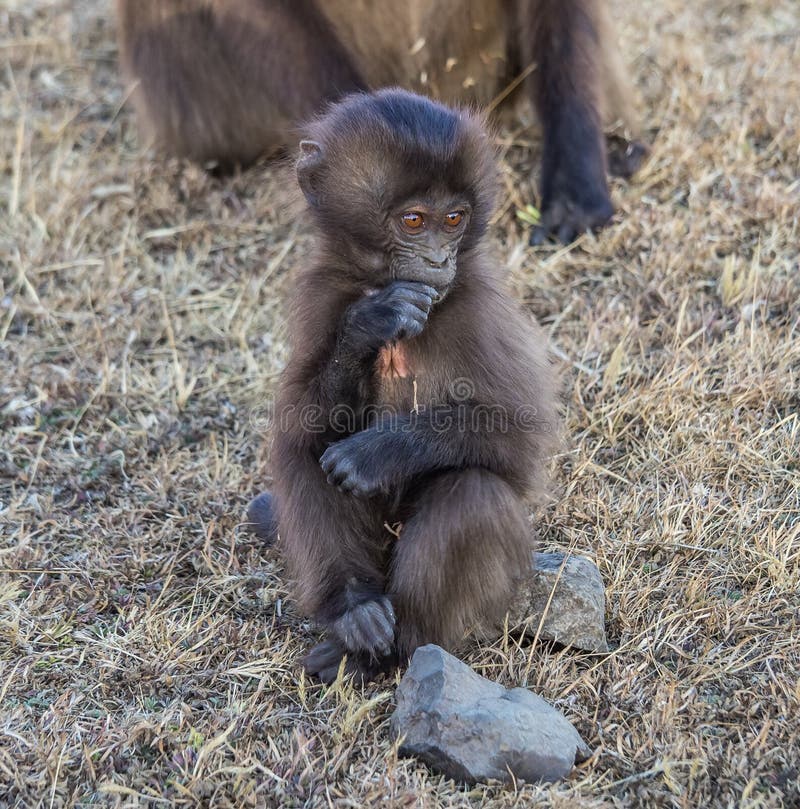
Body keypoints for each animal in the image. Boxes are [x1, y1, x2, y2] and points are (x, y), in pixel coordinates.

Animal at [265, 88, 558, 683]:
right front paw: (370, 324)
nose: (438, 260)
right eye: (414, 220)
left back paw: (395, 648)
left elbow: (518, 438)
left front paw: (378, 452)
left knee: (471, 494)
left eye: (454, 219)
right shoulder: (324, 292)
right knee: (301, 448)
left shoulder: (477, 307)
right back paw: (356, 612)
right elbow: (300, 419)